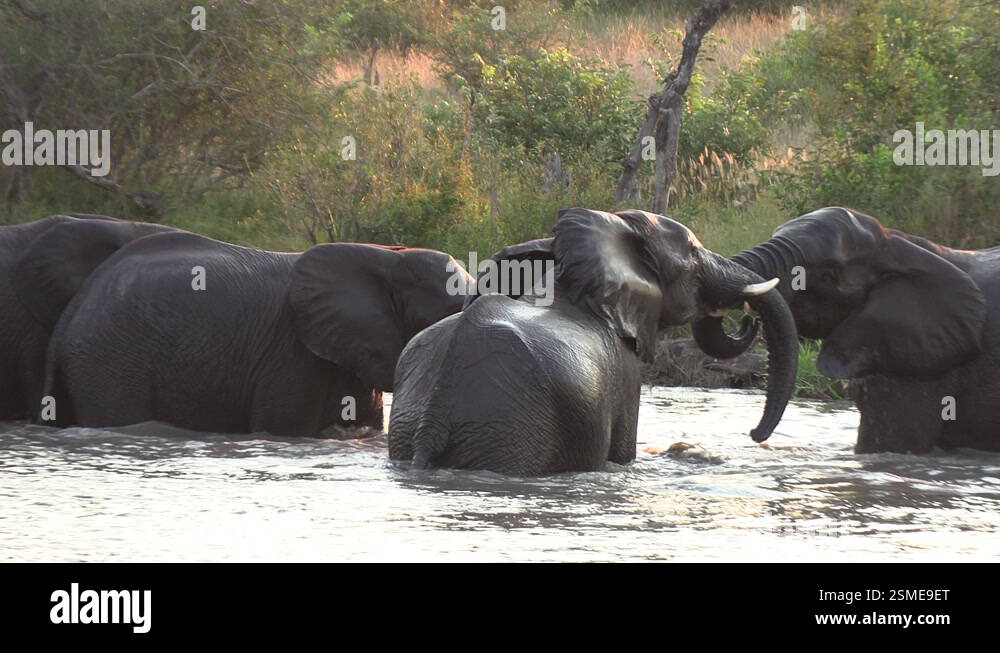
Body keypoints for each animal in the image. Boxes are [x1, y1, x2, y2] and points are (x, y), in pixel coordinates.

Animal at [387, 208, 799, 475]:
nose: (753, 435)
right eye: (694, 252)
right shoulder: (627, 371)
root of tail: (433, 421)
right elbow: (623, 455)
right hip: (508, 430)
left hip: (414, 421)